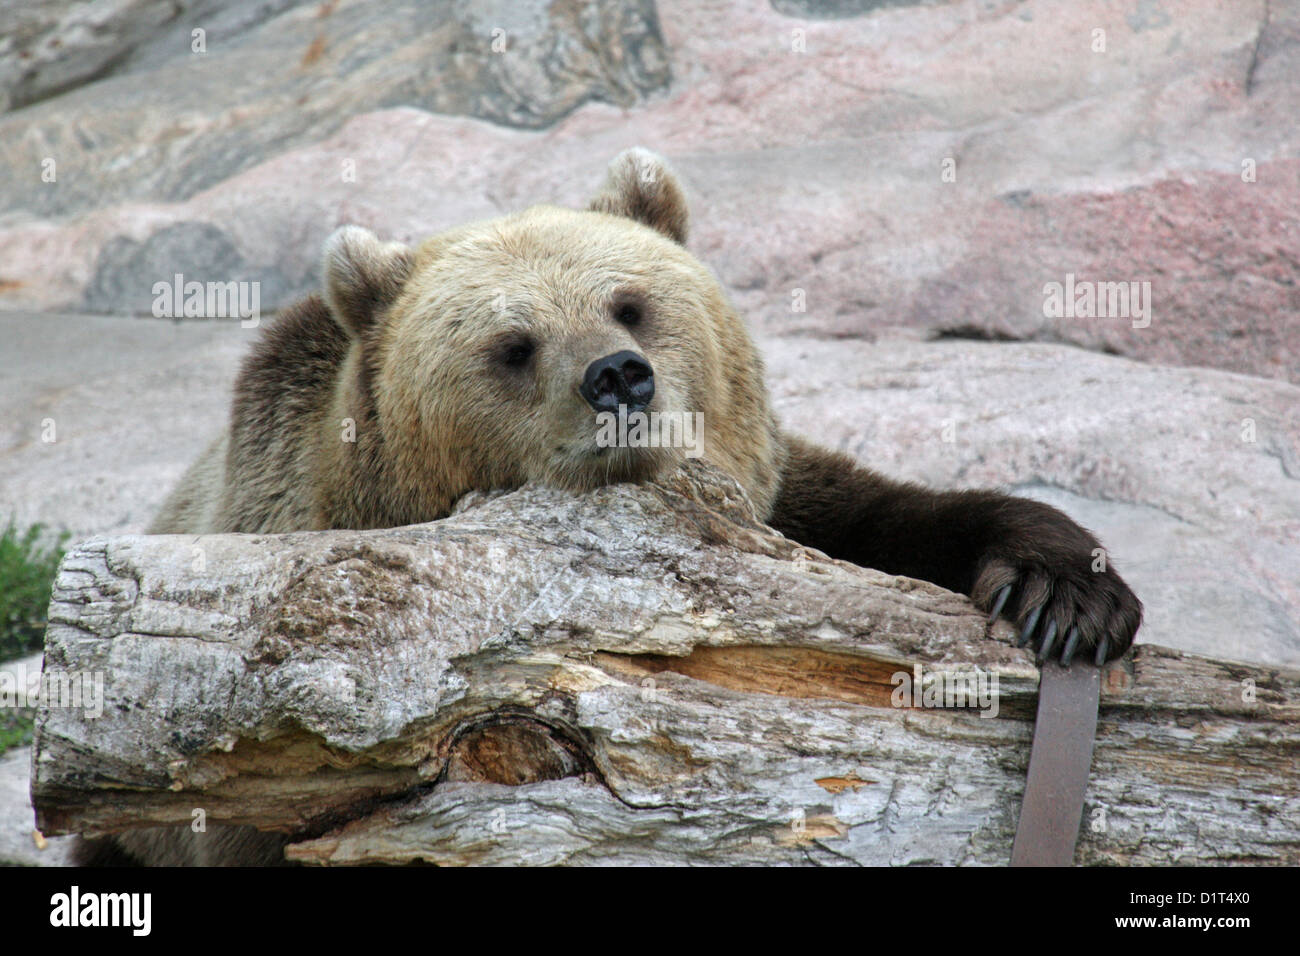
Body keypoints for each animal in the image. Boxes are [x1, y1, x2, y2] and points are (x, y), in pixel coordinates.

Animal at [75, 147, 1141, 865]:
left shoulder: (771, 501)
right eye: (512, 345)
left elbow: (886, 522)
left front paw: (1065, 593)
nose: (619, 377)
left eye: (630, 302)